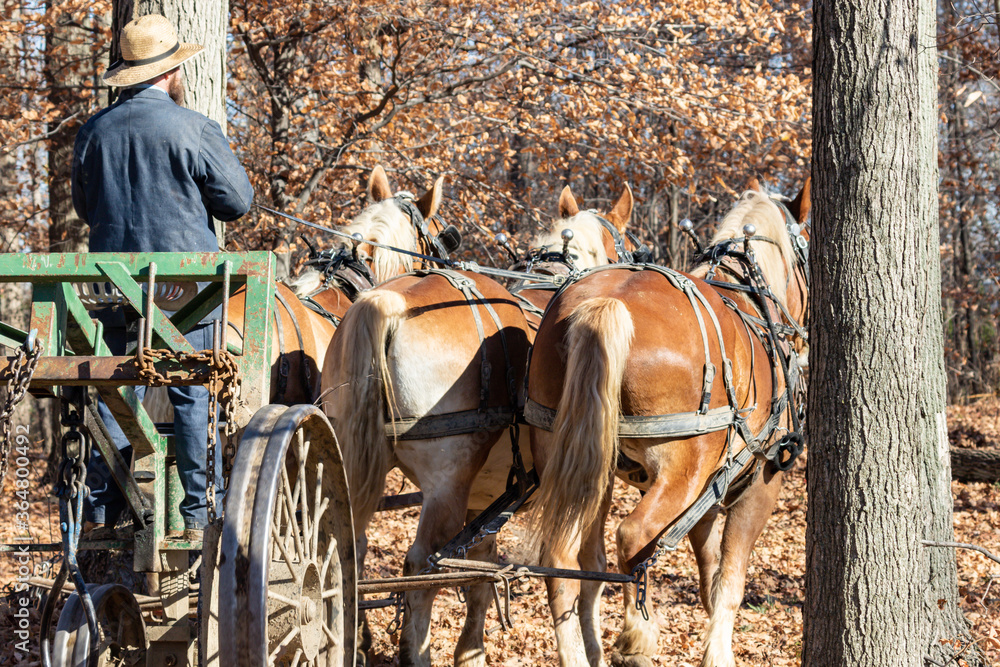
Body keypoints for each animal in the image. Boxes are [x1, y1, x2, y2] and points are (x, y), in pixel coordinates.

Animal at [322, 183, 636, 667]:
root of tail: (386, 302)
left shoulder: (485, 502)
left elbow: (480, 577)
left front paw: (471, 650)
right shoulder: (591, 489)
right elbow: (592, 568)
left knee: (348, 550)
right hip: (445, 486)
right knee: (420, 568)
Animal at [525, 179, 810, 667]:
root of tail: (606, 302)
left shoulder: (707, 496)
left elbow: (709, 578)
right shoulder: (759, 483)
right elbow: (729, 581)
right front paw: (718, 655)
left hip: (570, 454)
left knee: (560, 557)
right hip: (681, 472)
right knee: (632, 537)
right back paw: (636, 638)